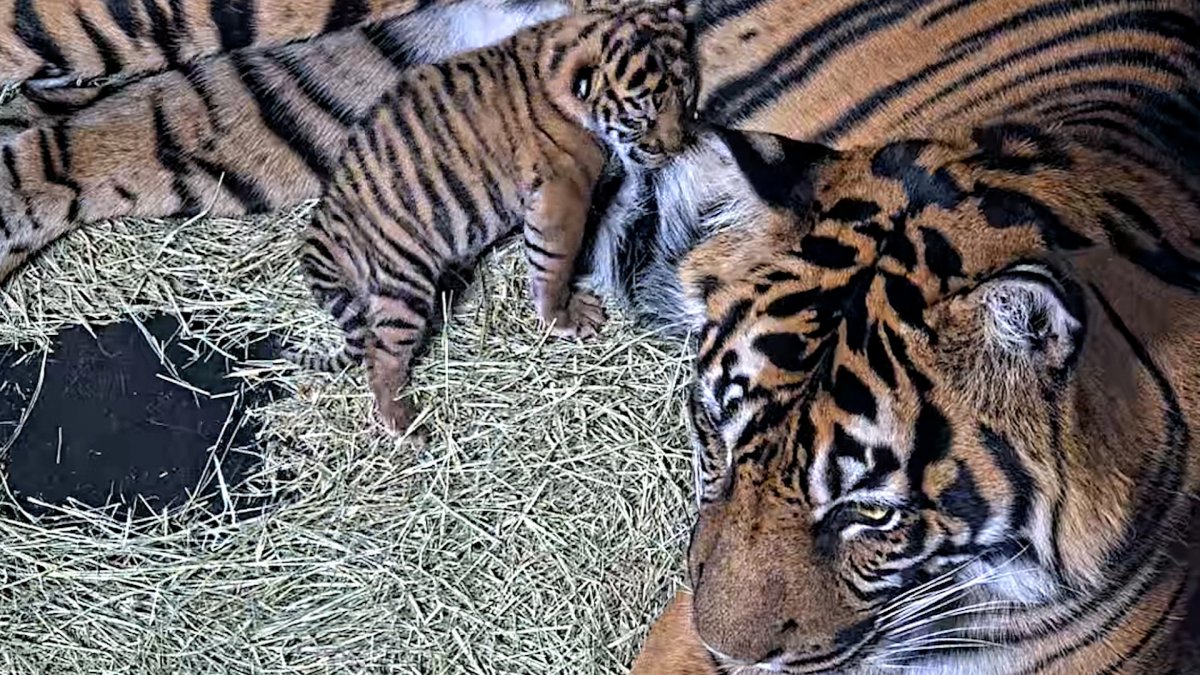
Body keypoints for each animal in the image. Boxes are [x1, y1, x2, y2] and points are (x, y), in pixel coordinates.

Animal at [286, 2, 694, 434]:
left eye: (684, 99)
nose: (676, 147)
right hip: (404, 279)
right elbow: (553, 264)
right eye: (643, 117)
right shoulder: (561, 193)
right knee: (380, 355)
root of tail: (326, 218)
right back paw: (404, 423)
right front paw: (564, 316)